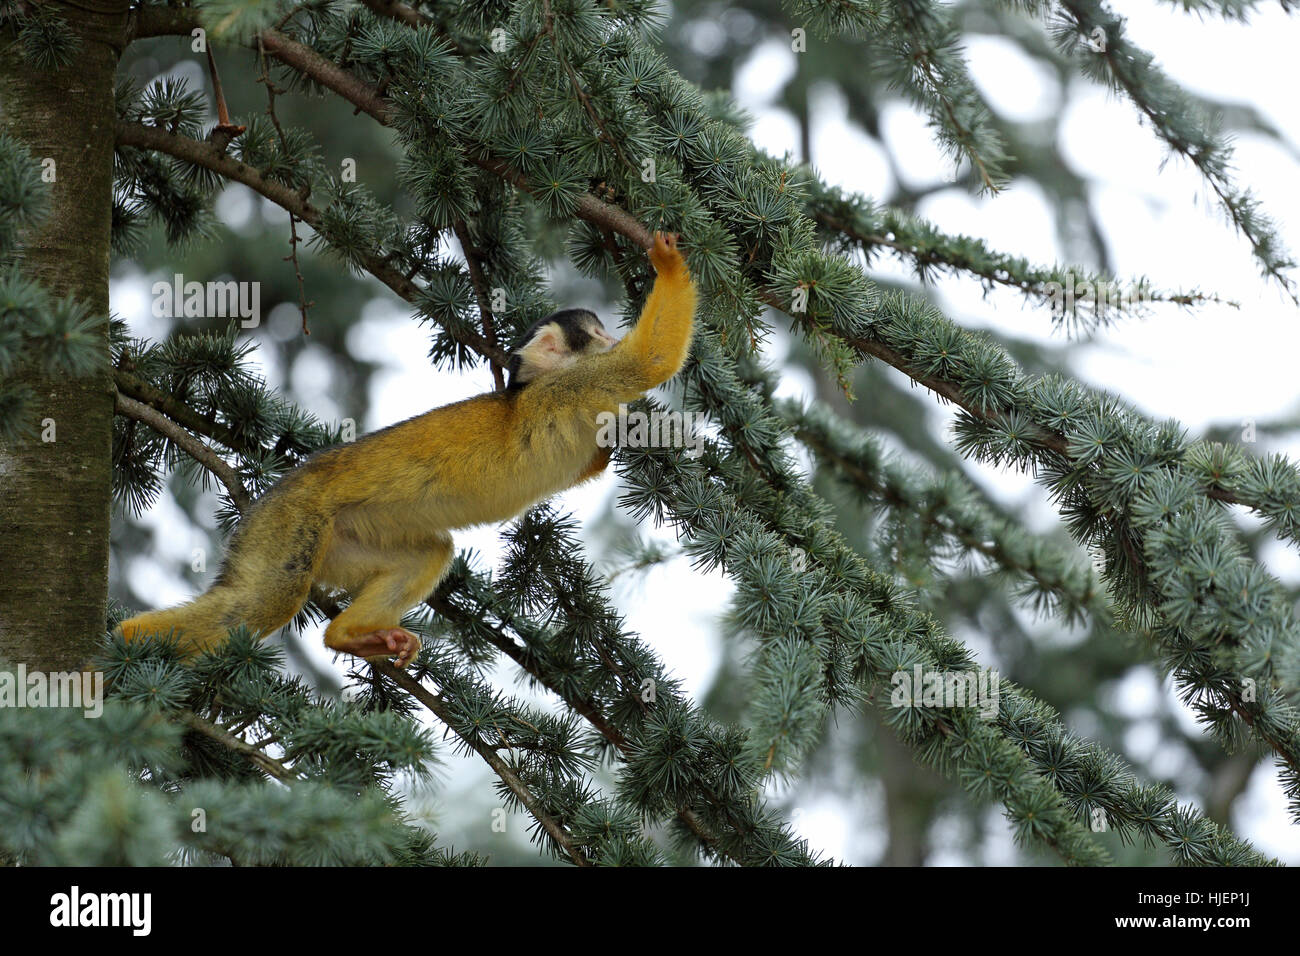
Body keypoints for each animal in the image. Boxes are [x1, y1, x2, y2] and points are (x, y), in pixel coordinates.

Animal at [116, 231, 696, 668]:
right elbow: (649, 360)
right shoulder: (570, 389)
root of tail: (269, 497)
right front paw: (667, 264)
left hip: (343, 540)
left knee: (428, 552)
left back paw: (351, 635)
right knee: (258, 602)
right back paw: (120, 647)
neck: (531, 389)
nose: (609, 336)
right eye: (597, 335)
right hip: (290, 524)